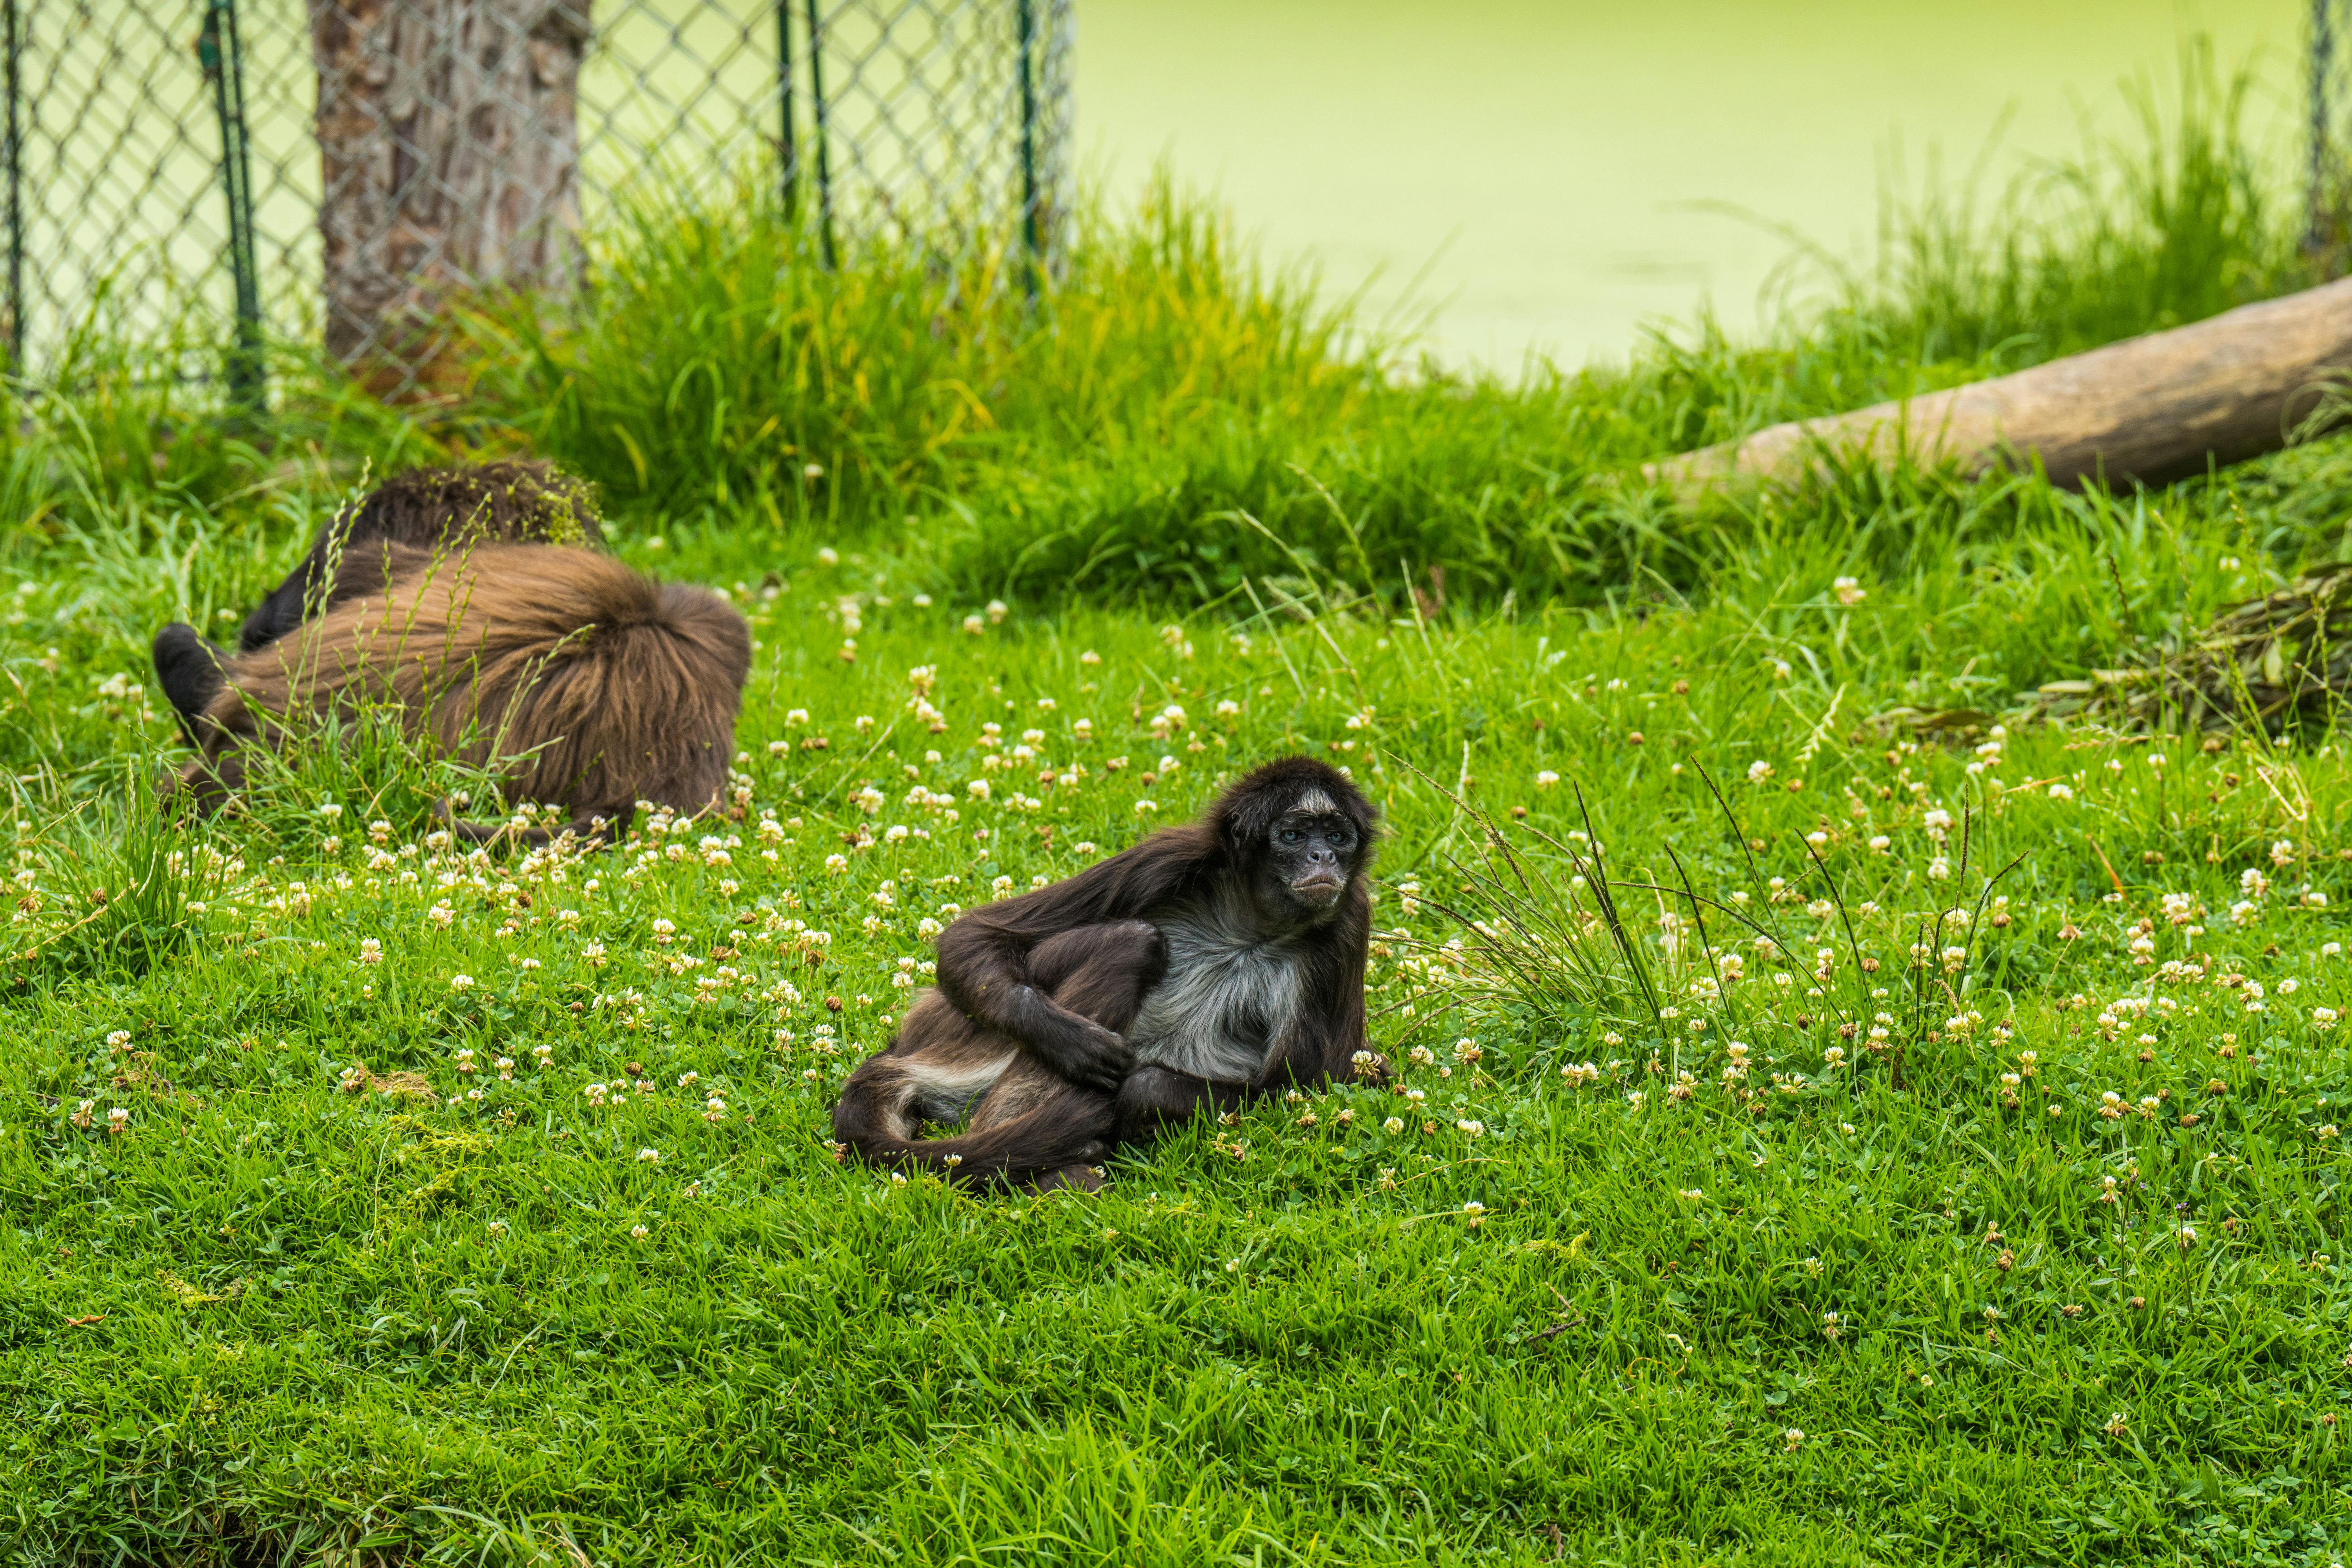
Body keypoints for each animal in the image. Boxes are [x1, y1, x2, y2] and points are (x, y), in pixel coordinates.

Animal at [830, 755, 1382, 1191]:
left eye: (1338, 836)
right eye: (1293, 835)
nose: (1323, 856)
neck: (1251, 929)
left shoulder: (1348, 921)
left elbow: (1305, 1088)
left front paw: (1140, 1091)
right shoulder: (1169, 857)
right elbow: (975, 935)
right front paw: (1072, 1043)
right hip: (966, 1035)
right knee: (1134, 941)